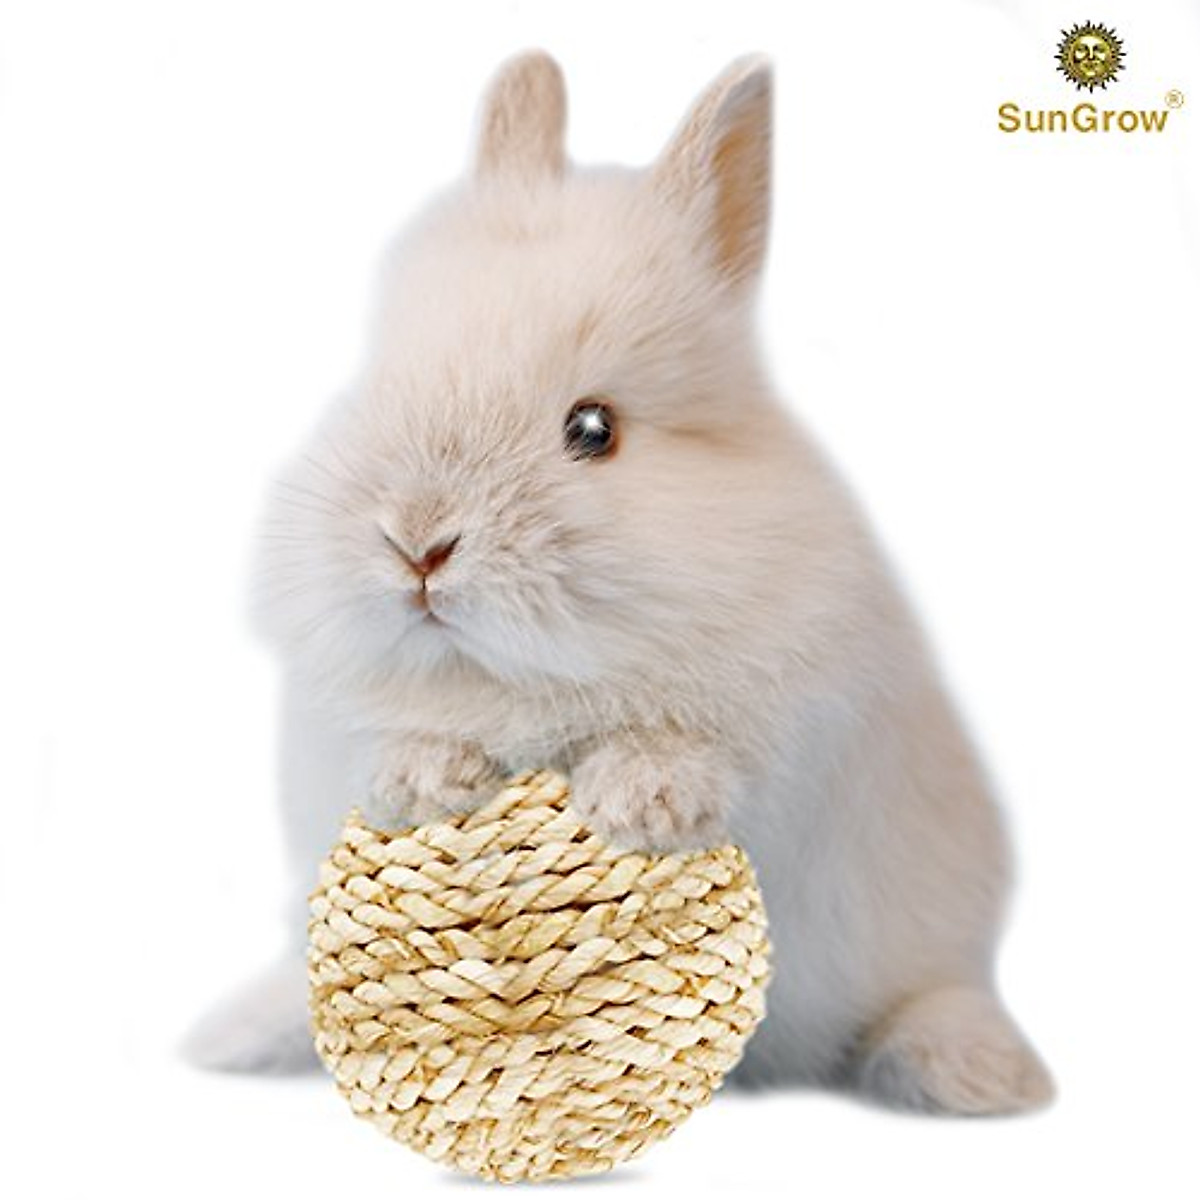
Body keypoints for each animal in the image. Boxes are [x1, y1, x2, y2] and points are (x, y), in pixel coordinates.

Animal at [185, 50, 1054, 1114]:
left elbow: (700, 755)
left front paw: (639, 801)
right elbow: (393, 748)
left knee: (923, 993)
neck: (519, 680)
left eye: (592, 430)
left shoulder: (796, 732)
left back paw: (984, 1073)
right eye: (378, 381)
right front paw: (427, 781)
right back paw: (235, 1035)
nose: (417, 543)